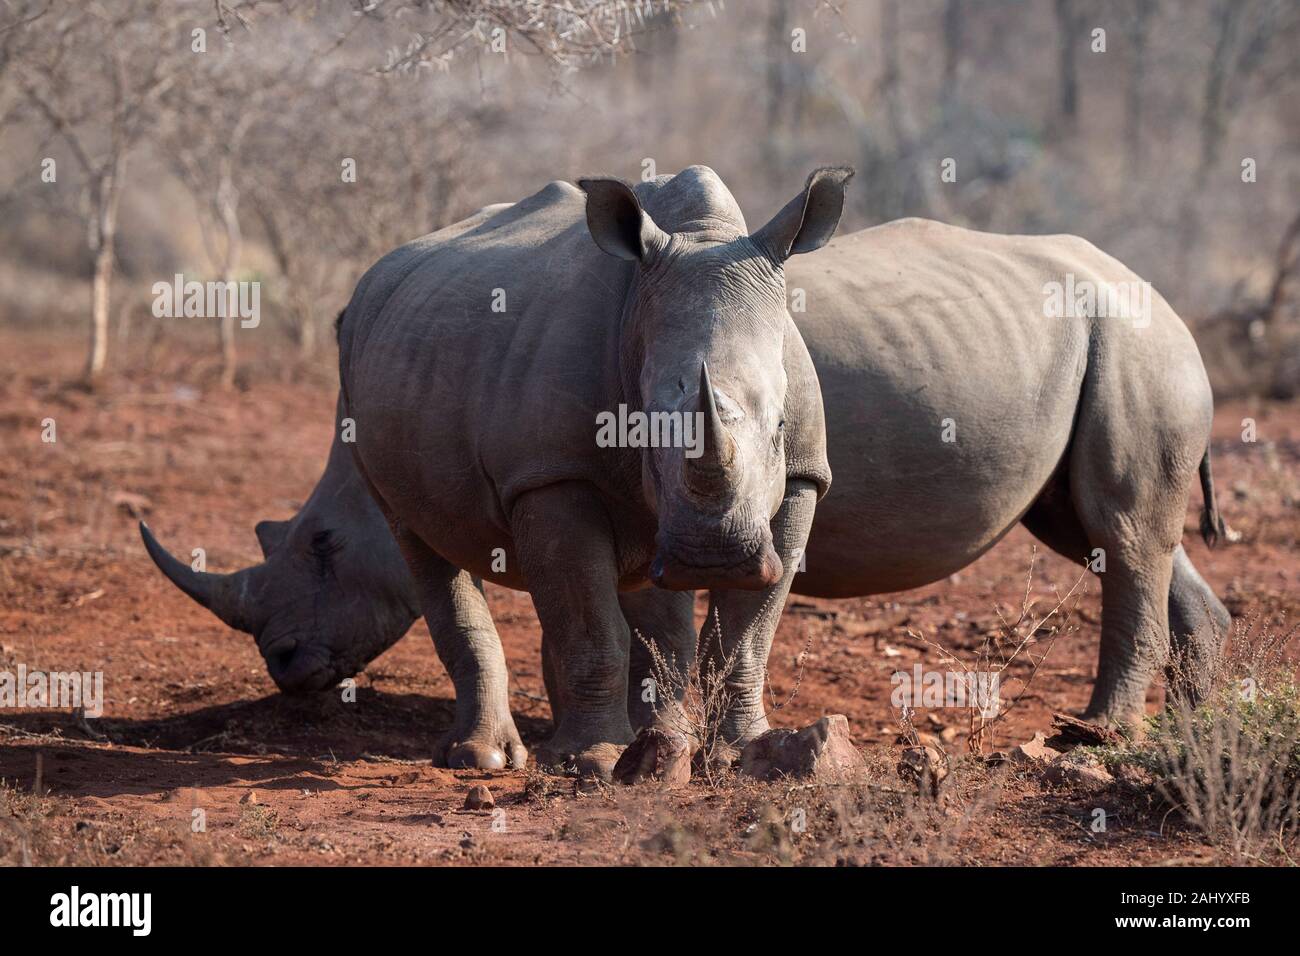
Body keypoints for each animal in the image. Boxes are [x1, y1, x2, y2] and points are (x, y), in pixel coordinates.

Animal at [142, 173, 1230, 775]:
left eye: (321, 546)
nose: (285, 665)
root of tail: (1160, 292)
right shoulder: (571, 479)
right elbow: (623, 623)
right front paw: (626, 745)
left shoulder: (786, 480)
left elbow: (698, 622)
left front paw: (683, 745)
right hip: (1120, 334)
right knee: (1099, 529)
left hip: (1132, 334)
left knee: (1118, 528)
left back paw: (1097, 737)